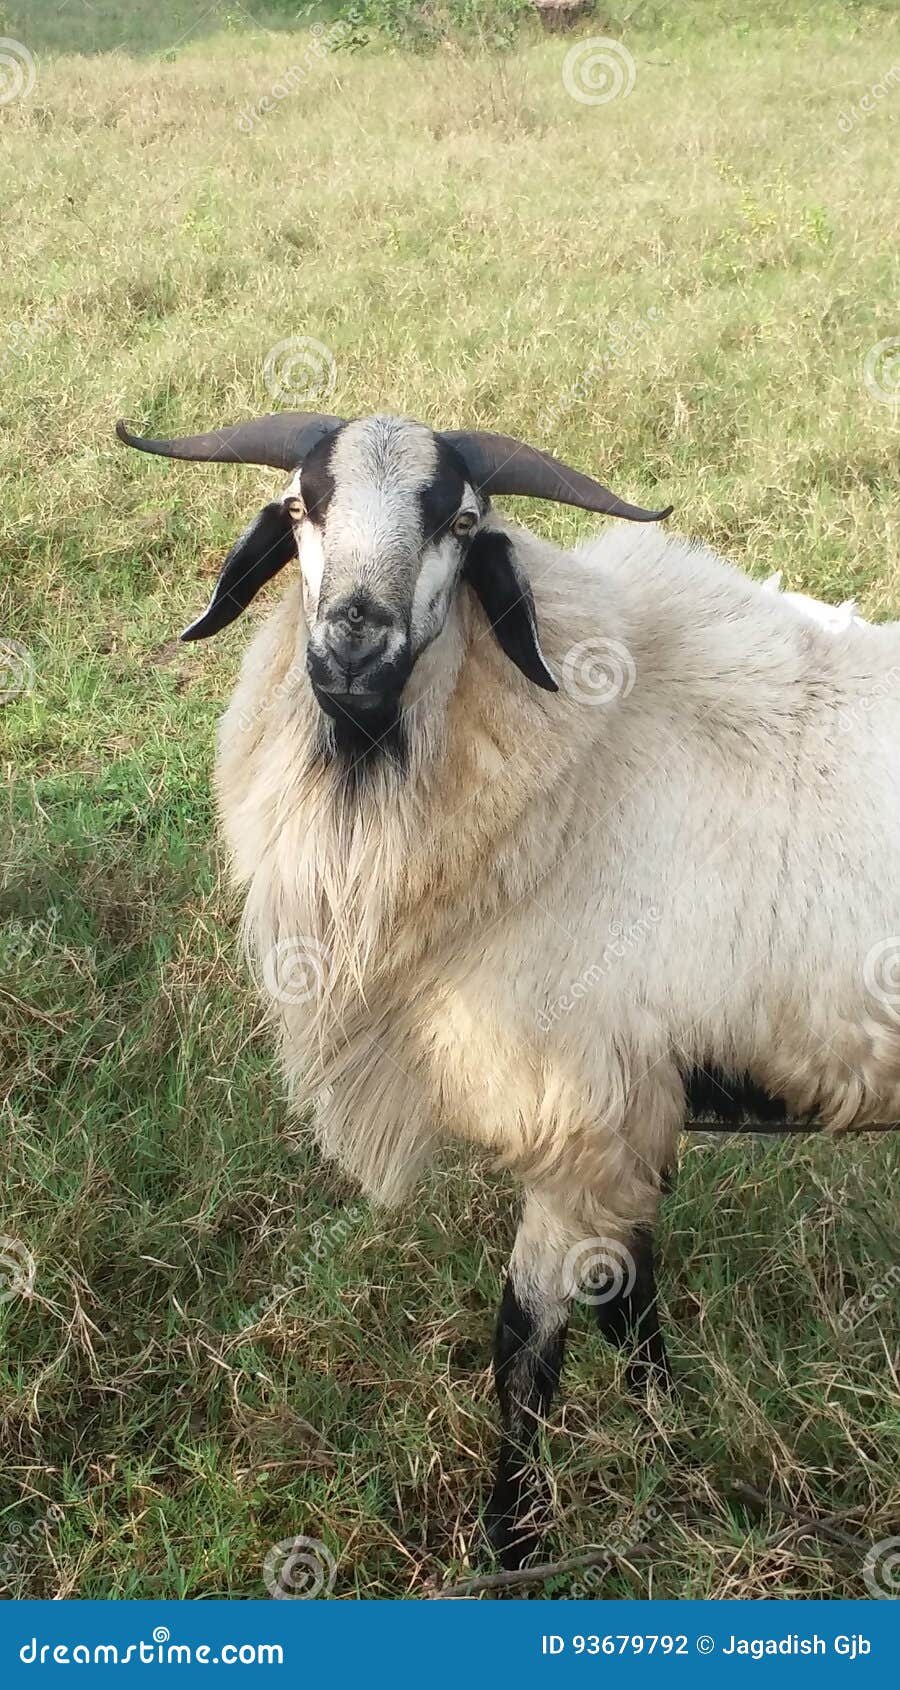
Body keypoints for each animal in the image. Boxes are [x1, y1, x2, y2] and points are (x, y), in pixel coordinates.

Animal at [117, 409, 900, 1569]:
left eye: (462, 519)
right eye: (301, 508)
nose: (354, 647)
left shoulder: (581, 1107)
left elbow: (525, 1347)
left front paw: (511, 1540)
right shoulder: (632, 1105)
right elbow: (632, 1302)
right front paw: (664, 1430)